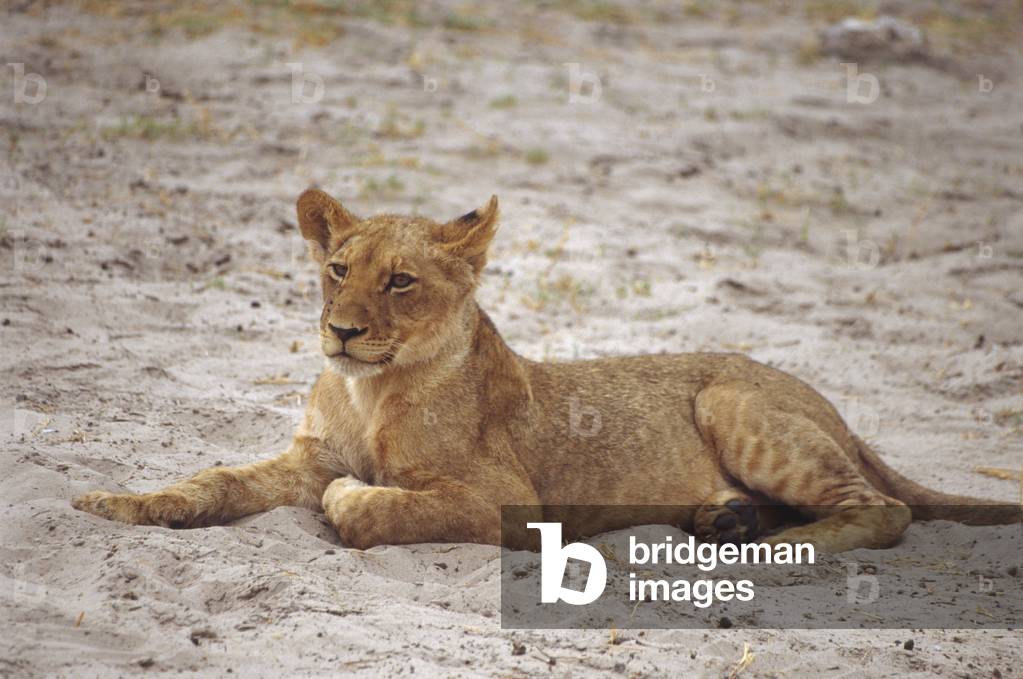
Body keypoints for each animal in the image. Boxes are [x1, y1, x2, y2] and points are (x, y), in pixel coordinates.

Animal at [72, 189, 1021, 552]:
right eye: (338, 268)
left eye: (400, 281)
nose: (339, 331)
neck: (368, 388)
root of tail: (832, 406)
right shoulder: (304, 457)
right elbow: (213, 479)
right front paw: (116, 503)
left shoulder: (506, 498)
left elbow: (379, 505)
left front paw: (356, 504)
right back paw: (725, 519)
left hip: (732, 401)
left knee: (886, 508)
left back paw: (771, 543)